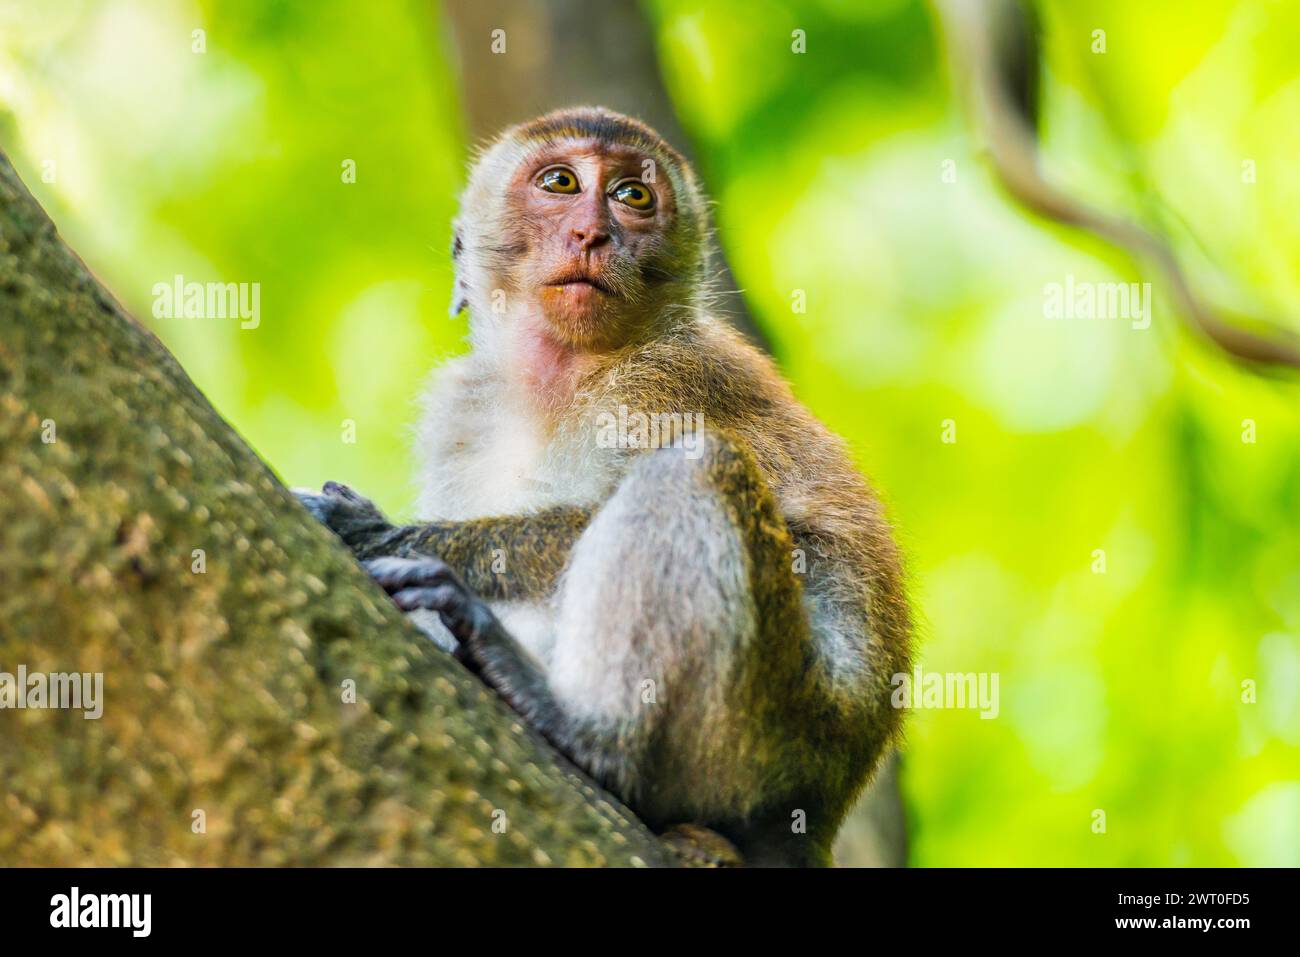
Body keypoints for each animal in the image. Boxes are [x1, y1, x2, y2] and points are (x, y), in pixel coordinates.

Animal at [297, 107, 912, 867]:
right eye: (560, 182)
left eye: (633, 196)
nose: (593, 232)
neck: (562, 374)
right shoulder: (460, 408)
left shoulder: (664, 383)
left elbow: (585, 517)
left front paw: (380, 533)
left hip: (777, 730)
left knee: (691, 469)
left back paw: (586, 731)